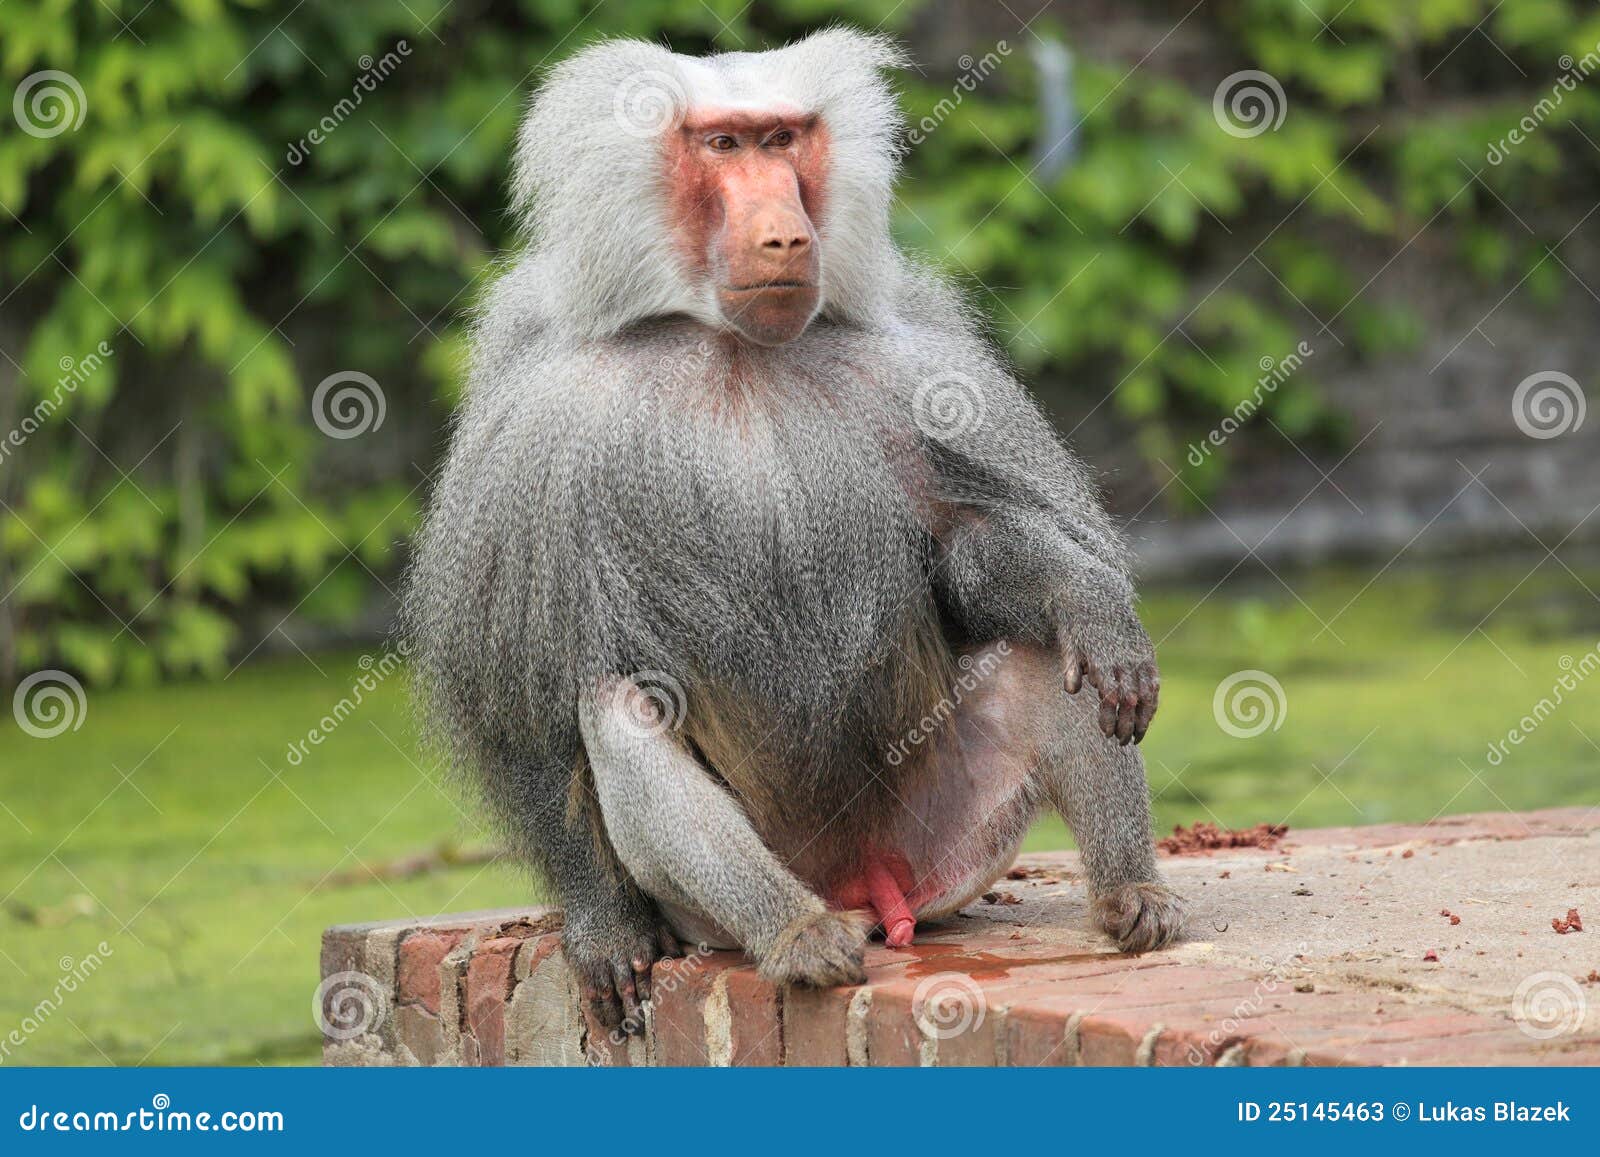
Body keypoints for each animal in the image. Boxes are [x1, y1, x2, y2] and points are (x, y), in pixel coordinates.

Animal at [403, 29, 1185, 1034]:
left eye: (782, 138)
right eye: (722, 146)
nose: (784, 234)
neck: (733, 344)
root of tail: (861, 885)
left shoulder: (922, 362)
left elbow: (967, 561)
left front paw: (1086, 596)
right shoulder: (531, 421)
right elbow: (523, 697)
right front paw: (604, 929)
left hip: (944, 837)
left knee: (1046, 648)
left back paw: (1132, 892)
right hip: (720, 904)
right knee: (615, 708)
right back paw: (797, 936)